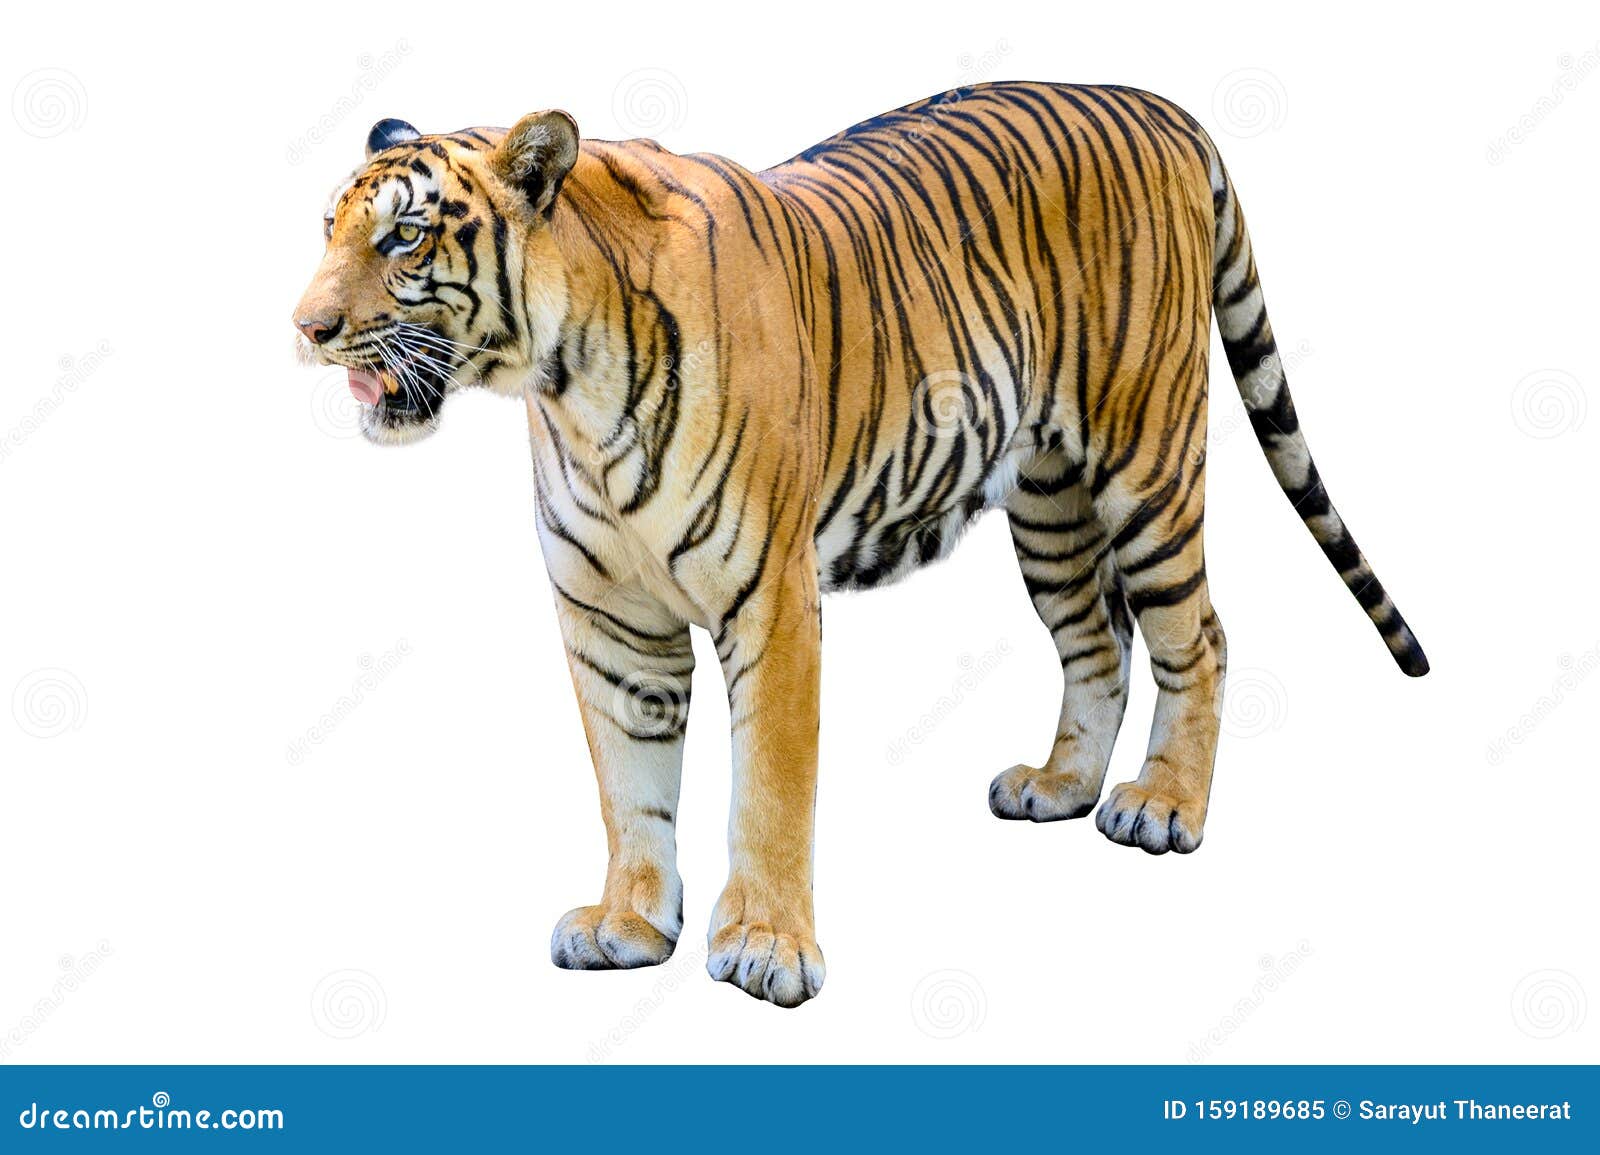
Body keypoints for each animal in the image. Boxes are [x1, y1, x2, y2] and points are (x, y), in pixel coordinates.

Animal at [293, 82, 1428, 1008]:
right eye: (326, 231)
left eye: (402, 240)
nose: (303, 327)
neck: (565, 385)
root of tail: (1161, 106)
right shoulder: (610, 622)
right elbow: (629, 784)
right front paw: (628, 924)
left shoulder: (770, 597)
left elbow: (769, 785)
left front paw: (767, 949)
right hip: (1049, 503)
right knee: (1098, 644)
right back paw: (1058, 787)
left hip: (1145, 457)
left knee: (1201, 635)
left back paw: (1162, 807)